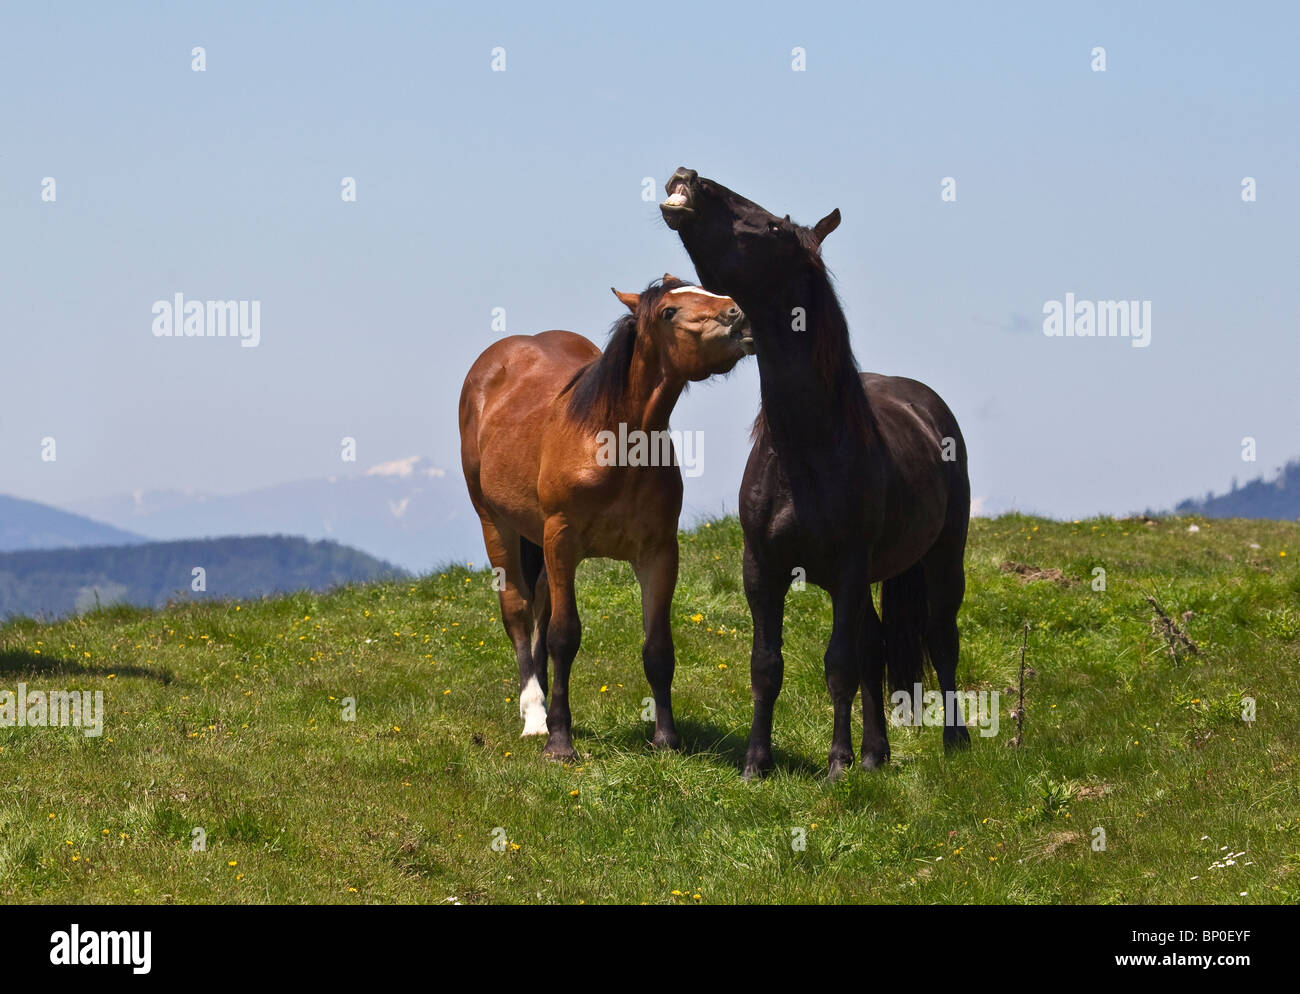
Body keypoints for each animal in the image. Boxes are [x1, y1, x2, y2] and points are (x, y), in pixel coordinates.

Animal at [458, 277, 753, 760]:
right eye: (669, 311)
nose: (738, 314)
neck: (611, 444)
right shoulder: (561, 541)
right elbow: (564, 636)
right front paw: (559, 742)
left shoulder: (658, 553)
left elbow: (658, 648)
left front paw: (666, 739)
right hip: (495, 525)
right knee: (518, 612)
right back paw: (535, 716)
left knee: (539, 607)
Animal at [661, 168, 971, 779]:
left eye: (775, 230)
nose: (688, 178)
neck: (805, 450)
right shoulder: (762, 570)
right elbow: (767, 665)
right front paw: (757, 762)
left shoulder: (848, 571)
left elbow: (839, 665)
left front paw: (837, 764)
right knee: (877, 646)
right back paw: (876, 754)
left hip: (943, 558)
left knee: (941, 639)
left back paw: (952, 742)